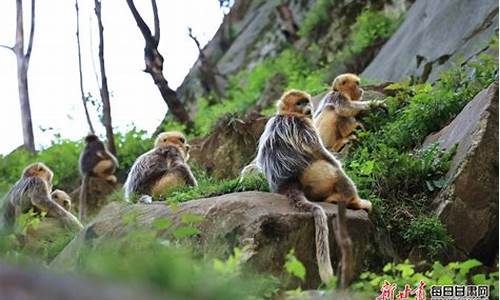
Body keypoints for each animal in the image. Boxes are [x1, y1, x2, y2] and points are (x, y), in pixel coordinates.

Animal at [256, 89, 370, 286]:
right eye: (299, 103)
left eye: (306, 101)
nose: (308, 108)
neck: (286, 114)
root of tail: (287, 183)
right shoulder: (302, 124)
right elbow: (320, 151)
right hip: (315, 175)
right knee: (334, 170)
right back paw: (356, 202)